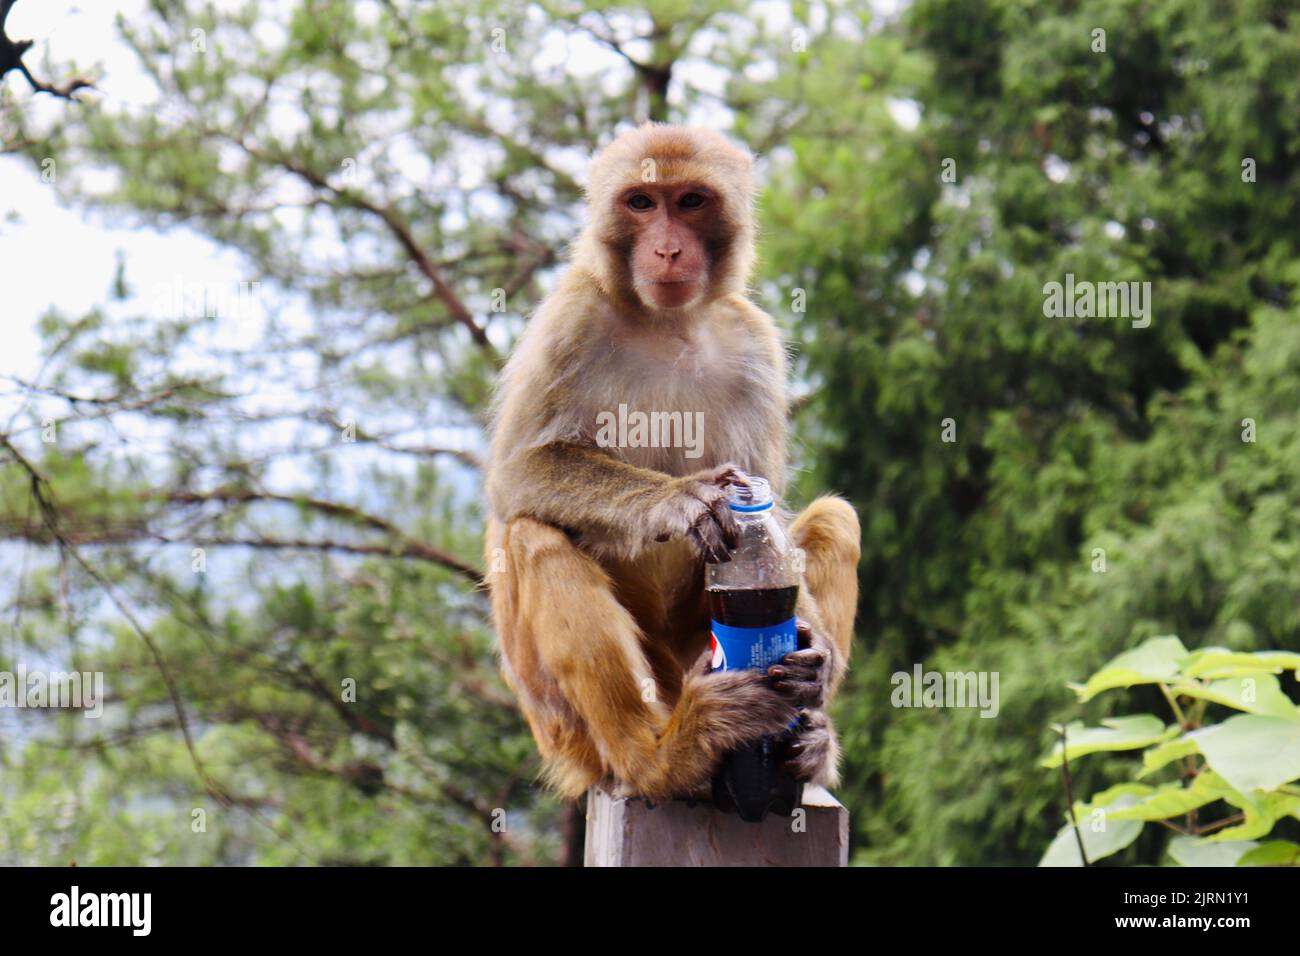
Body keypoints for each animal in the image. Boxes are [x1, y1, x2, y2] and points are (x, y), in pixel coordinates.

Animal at [484, 123, 861, 803]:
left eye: (689, 202)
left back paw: (813, 748)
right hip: (571, 724)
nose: (665, 250)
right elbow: (517, 474)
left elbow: (773, 504)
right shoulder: (569, 315)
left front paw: (811, 652)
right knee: (532, 533)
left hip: (689, 654)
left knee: (835, 518)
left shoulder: (756, 343)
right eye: (641, 202)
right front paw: (680, 500)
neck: (666, 321)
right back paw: (660, 755)